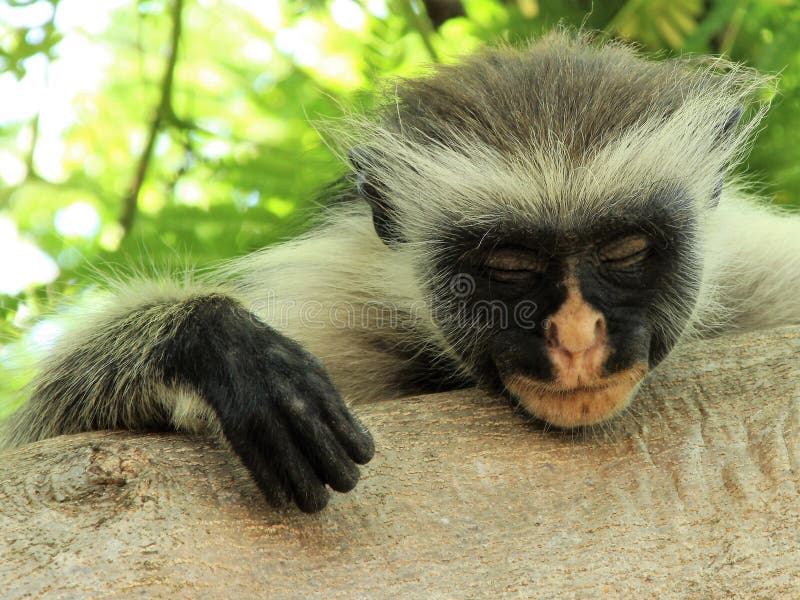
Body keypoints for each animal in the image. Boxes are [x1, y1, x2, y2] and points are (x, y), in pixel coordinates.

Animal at [2, 32, 799, 513]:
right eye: (506, 265)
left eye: (627, 251)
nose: (576, 339)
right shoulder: (334, 315)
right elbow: (41, 450)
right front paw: (213, 341)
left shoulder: (764, 274)